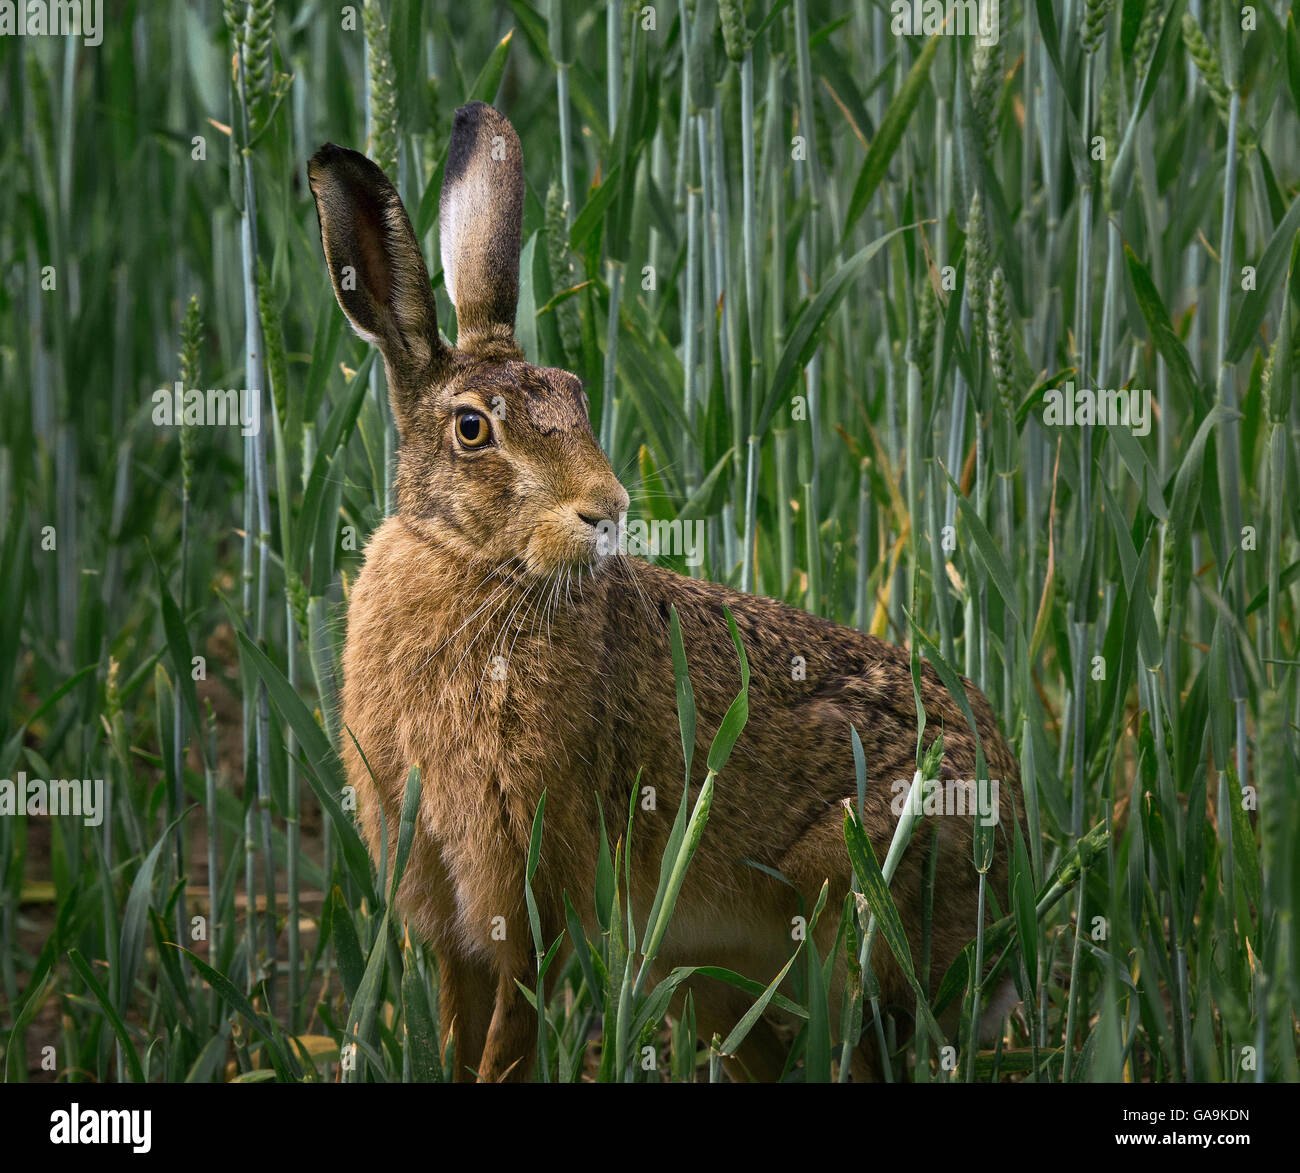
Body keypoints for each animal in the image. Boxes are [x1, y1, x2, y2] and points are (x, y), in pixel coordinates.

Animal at [308, 101, 1025, 1082]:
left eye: (577, 397)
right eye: (473, 429)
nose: (606, 511)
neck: (473, 567)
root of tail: (1014, 851)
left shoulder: (533, 892)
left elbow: (509, 1038)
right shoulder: (450, 916)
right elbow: (464, 1034)